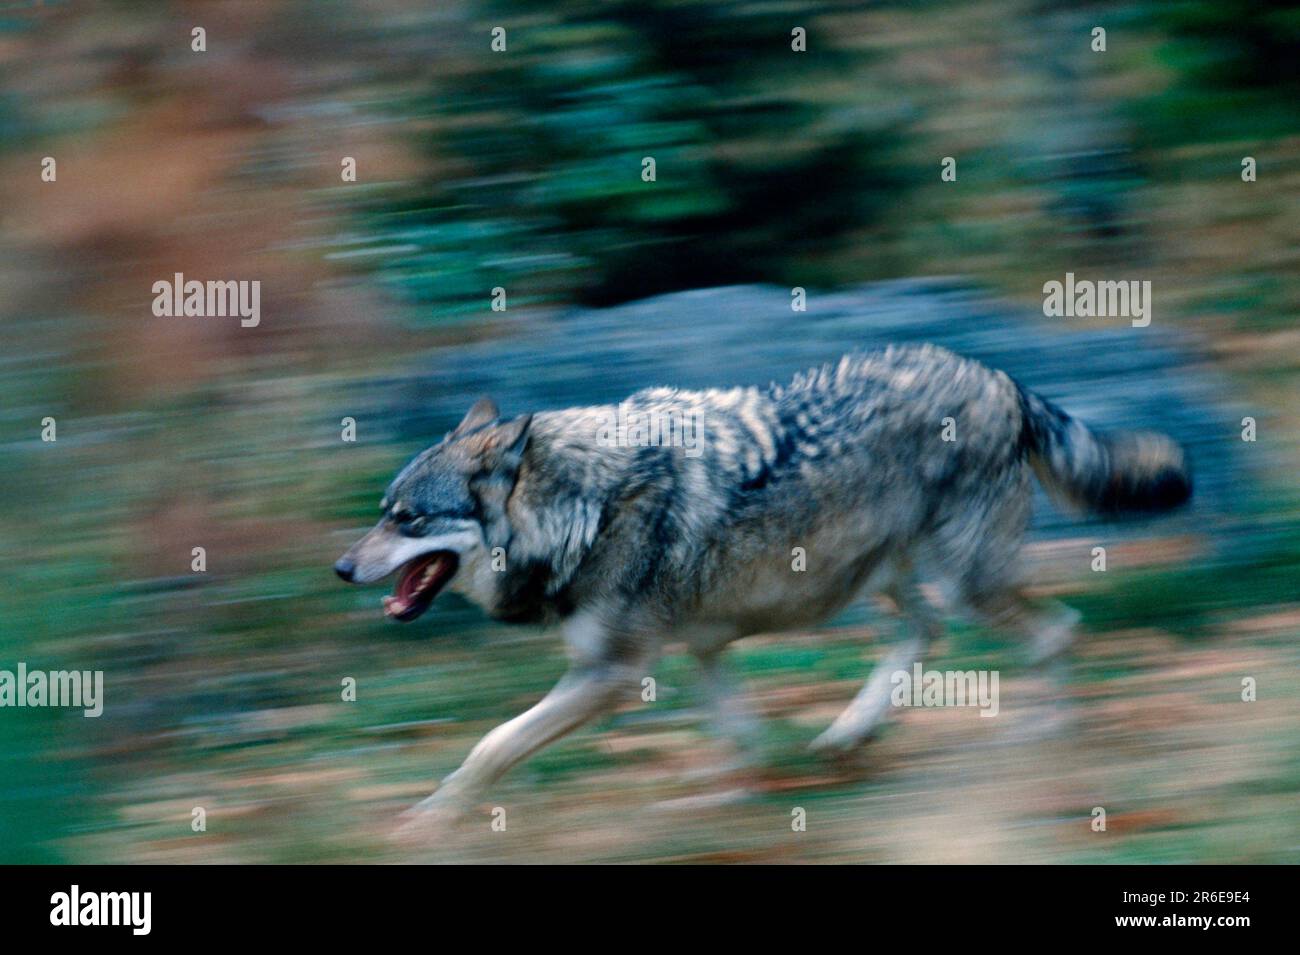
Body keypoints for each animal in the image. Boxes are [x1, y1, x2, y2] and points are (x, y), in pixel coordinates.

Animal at [336, 344, 1191, 826]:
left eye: (407, 519)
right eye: (381, 512)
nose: (342, 567)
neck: (583, 503)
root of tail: (1000, 376)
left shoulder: (610, 674)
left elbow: (489, 745)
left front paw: (430, 818)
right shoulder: (701, 646)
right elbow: (736, 736)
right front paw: (727, 797)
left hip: (963, 576)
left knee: (1057, 629)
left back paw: (1048, 736)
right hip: (880, 579)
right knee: (928, 630)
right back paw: (849, 734)